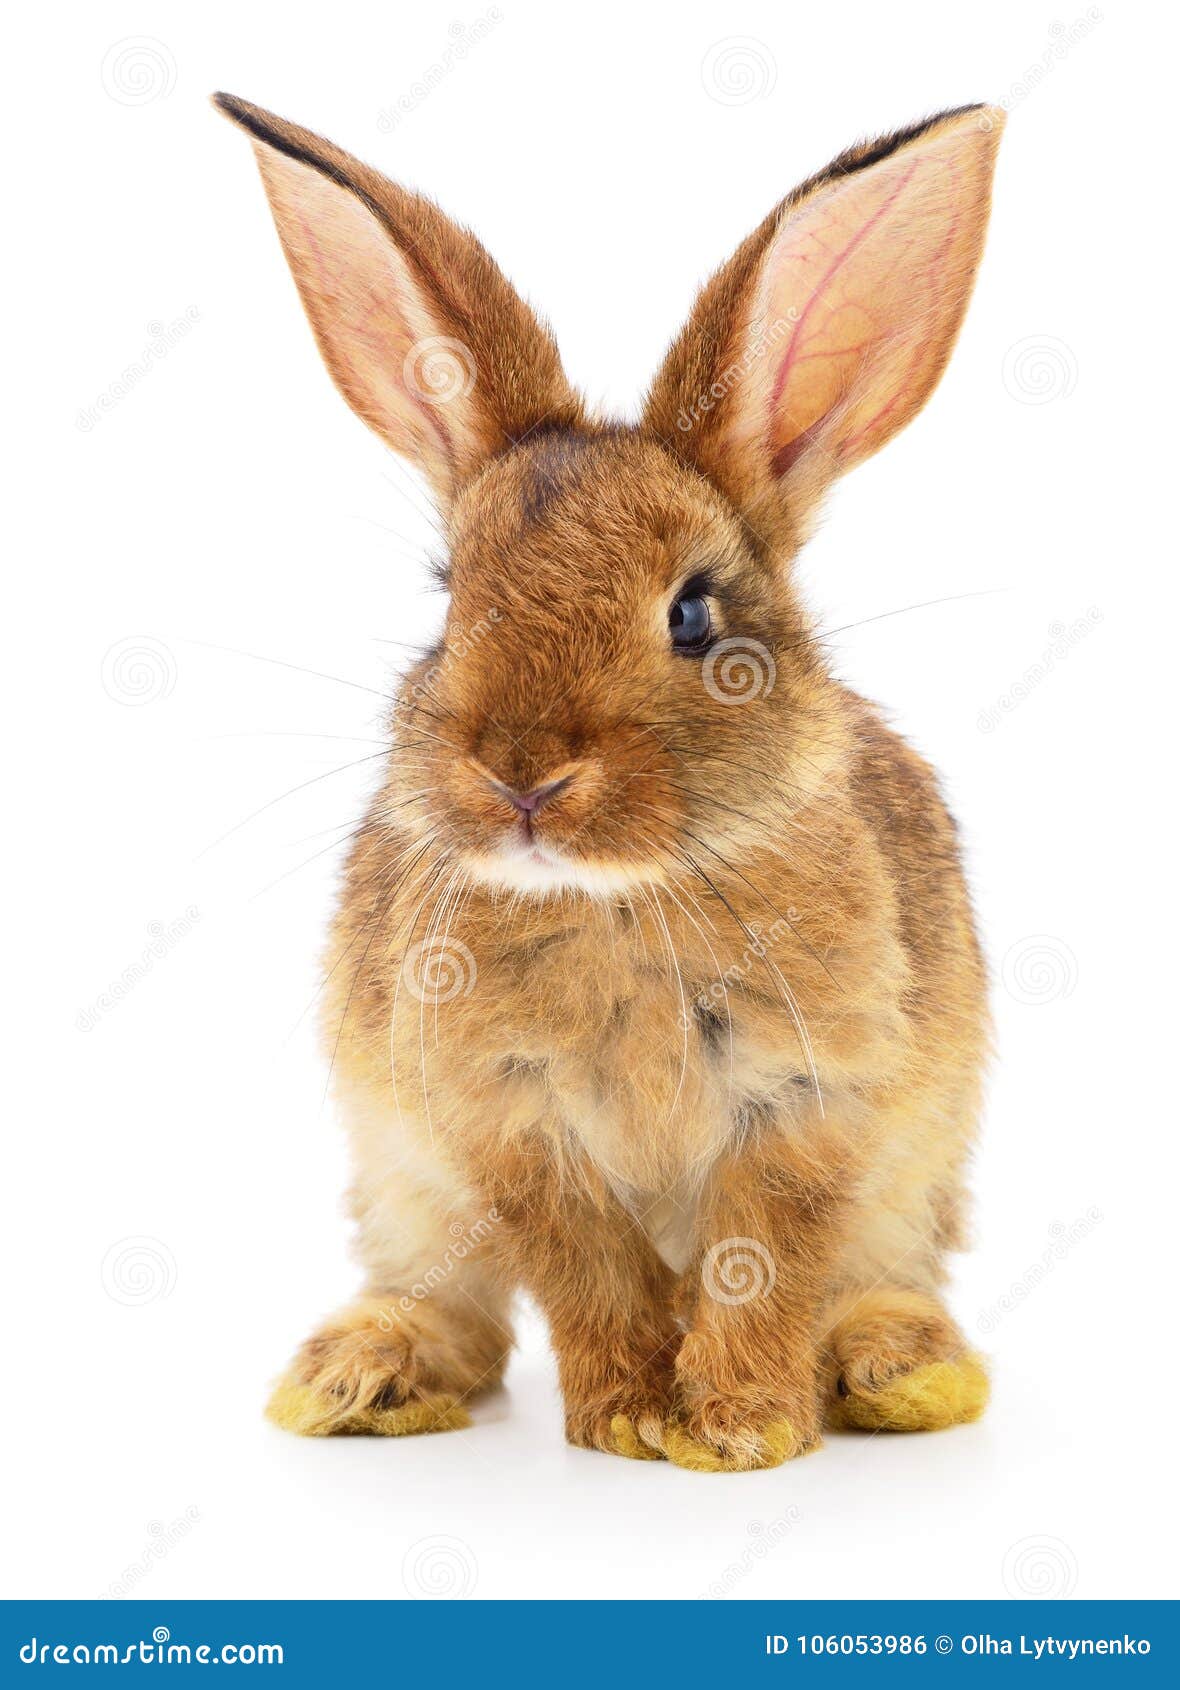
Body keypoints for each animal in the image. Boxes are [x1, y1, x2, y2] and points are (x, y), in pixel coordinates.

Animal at [214, 92, 1003, 1470]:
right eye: (450, 597)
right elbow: (583, 1270)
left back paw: (897, 1371)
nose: (521, 774)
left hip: (913, 1178)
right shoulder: (505, 1125)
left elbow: (759, 1261)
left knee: (874, 1276)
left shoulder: (810, 1102)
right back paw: (359, 1377)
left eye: (693, 614)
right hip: (406, 1182)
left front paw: (741, 1429)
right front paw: (632, 1417)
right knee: (456, 1307)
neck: (622, 894)